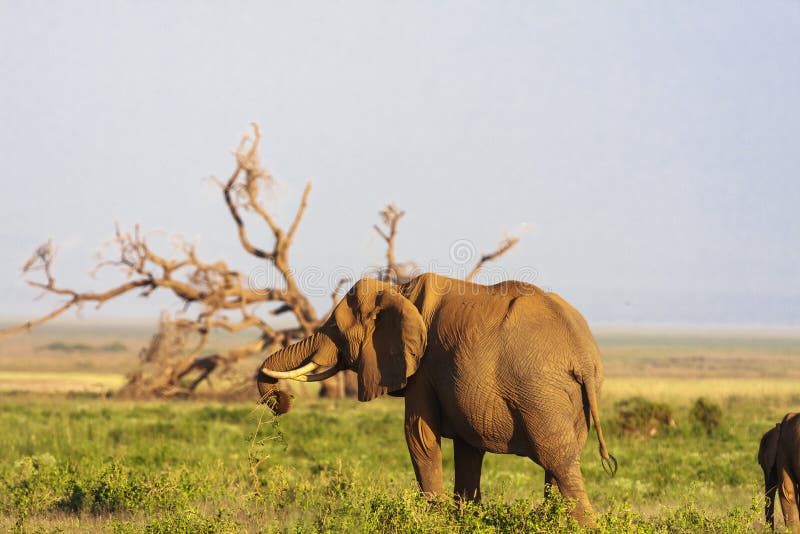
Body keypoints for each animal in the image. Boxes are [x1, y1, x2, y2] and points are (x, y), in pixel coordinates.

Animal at [256, 273, 616, 525]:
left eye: (335, 329)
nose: (282, 401)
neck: (399, 291)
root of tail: (582, 356)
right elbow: (468, 449)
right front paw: (466, 518)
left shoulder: (424, 366)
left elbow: (418, 436)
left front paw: (436, 518)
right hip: (577, 395)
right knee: (560, 462)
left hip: (540, 393)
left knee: (558, 461)